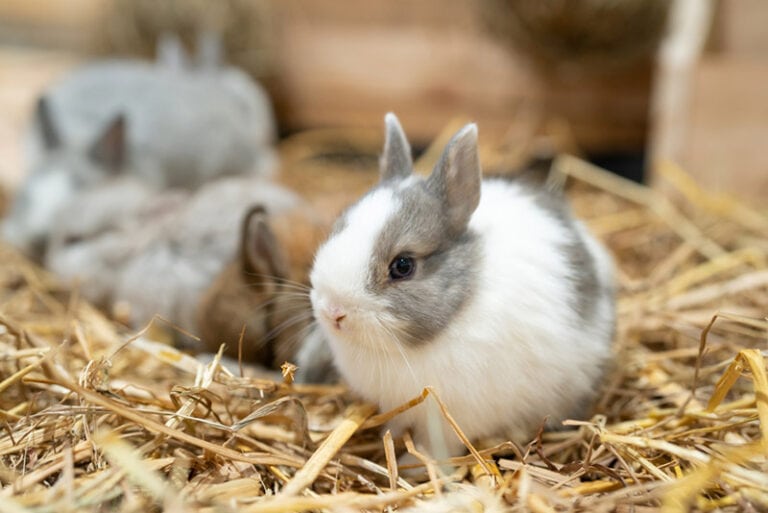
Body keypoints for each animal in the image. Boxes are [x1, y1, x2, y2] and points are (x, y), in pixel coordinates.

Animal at [305, 113, 616, 459]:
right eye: (338, 227)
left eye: (403, 266)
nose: (332, 311)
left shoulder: (451, 419)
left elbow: (437, 448)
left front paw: (418, 464)